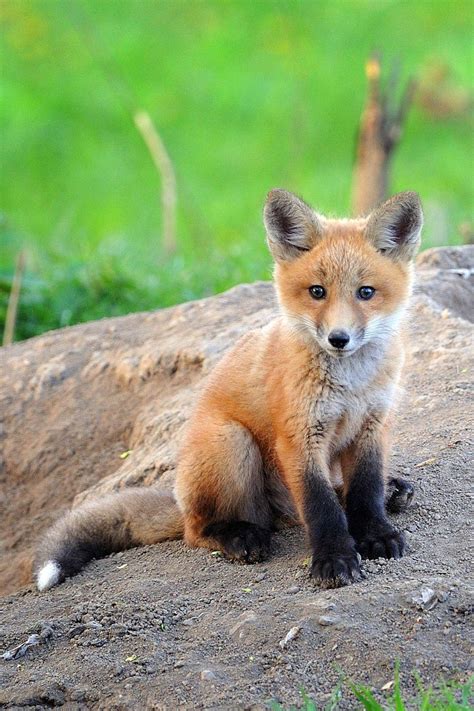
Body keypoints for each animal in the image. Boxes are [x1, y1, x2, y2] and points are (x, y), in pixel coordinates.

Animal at [35, 189, 422, 593]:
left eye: (366, 292)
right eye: (317, 292)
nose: (339, 338)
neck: (350, 386)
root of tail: (180, 500)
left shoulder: (373, 427)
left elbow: (366, 492)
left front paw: (376, 534)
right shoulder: (299, 437)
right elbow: (322, 508)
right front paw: (334, 558)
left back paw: (392, 491)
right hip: (232, 443)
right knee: (198, 530)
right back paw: (238, 536)